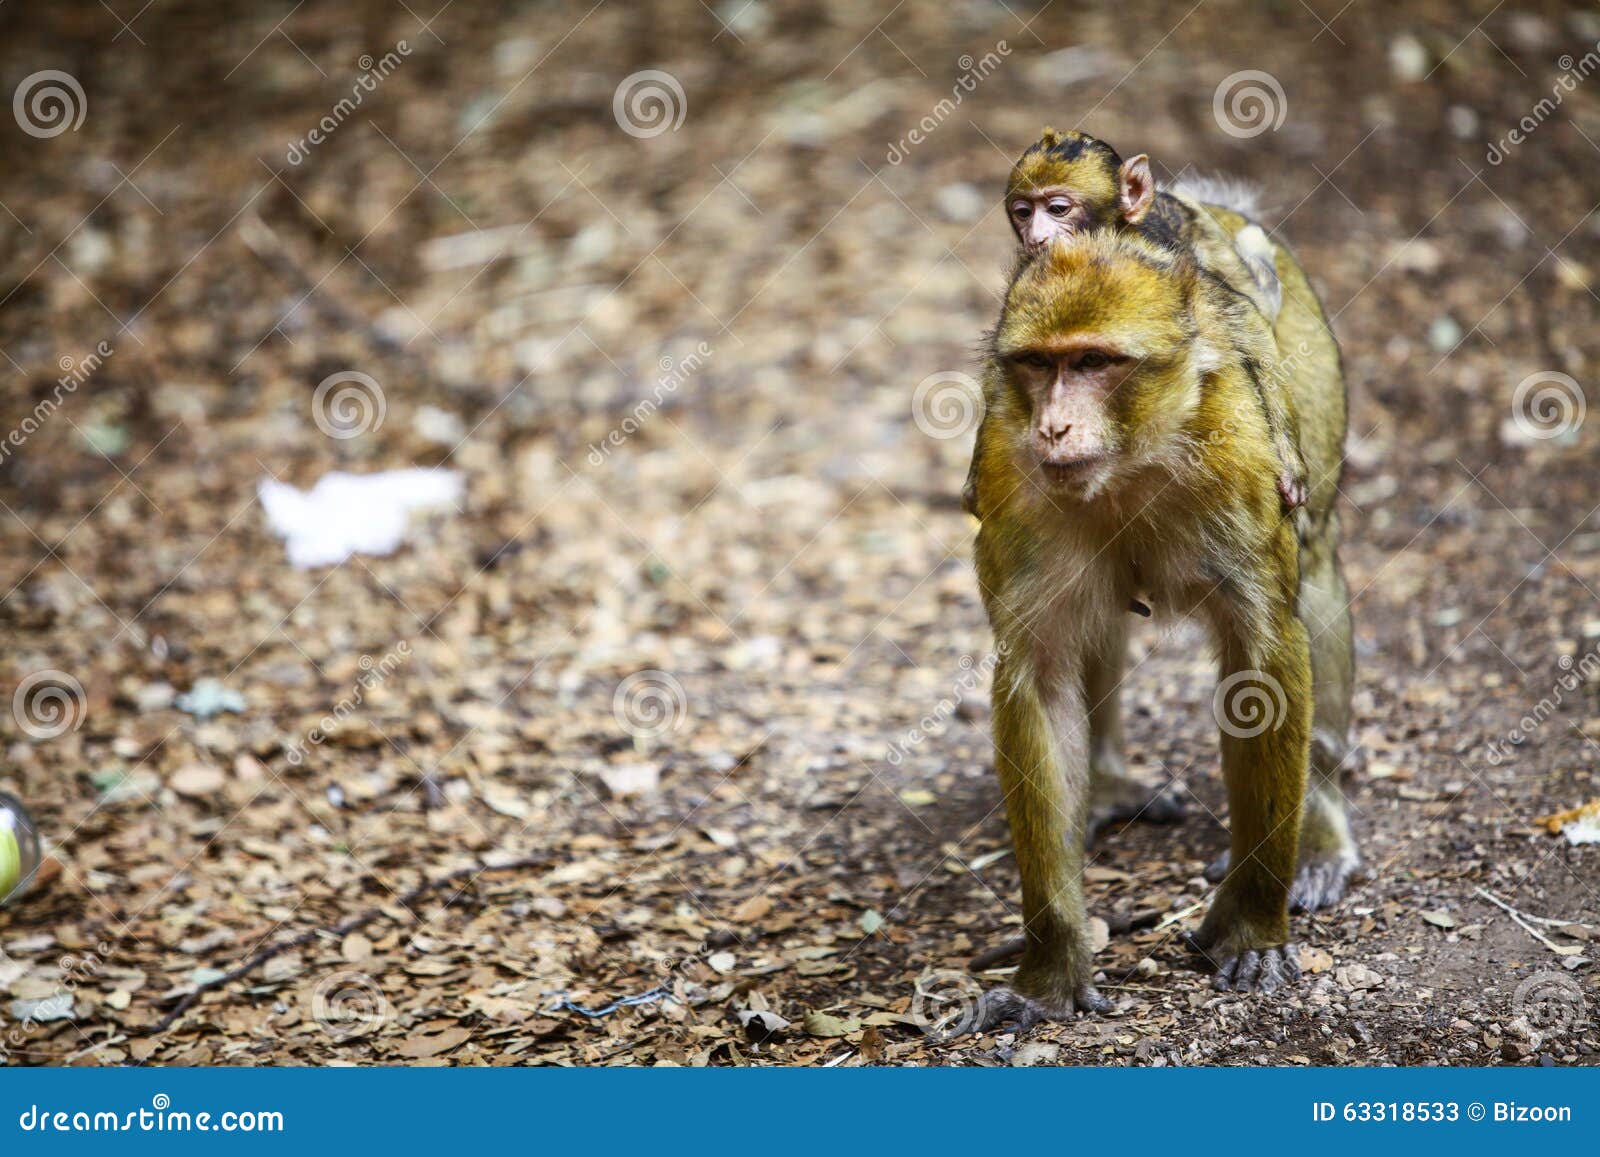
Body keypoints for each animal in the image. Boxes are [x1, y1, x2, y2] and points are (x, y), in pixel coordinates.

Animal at [960, 226, 1360, 1031]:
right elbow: (1041, 677)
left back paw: (1319, 828)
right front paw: (1049, 968)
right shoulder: (1011, 482)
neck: (1131, 461)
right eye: (1039, 365)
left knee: (1317, 562)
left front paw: (1251, 923)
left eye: (1092, 362)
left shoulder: (1244, 459)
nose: (1053, 425)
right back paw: (1110, 785)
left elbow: (1263, 661)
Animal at [961, 129, 1307, 522]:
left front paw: (1291, 463)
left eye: (1058, 209)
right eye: (1024, 212)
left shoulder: (1164, 256)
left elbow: (1242, 316)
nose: (1037, 237)